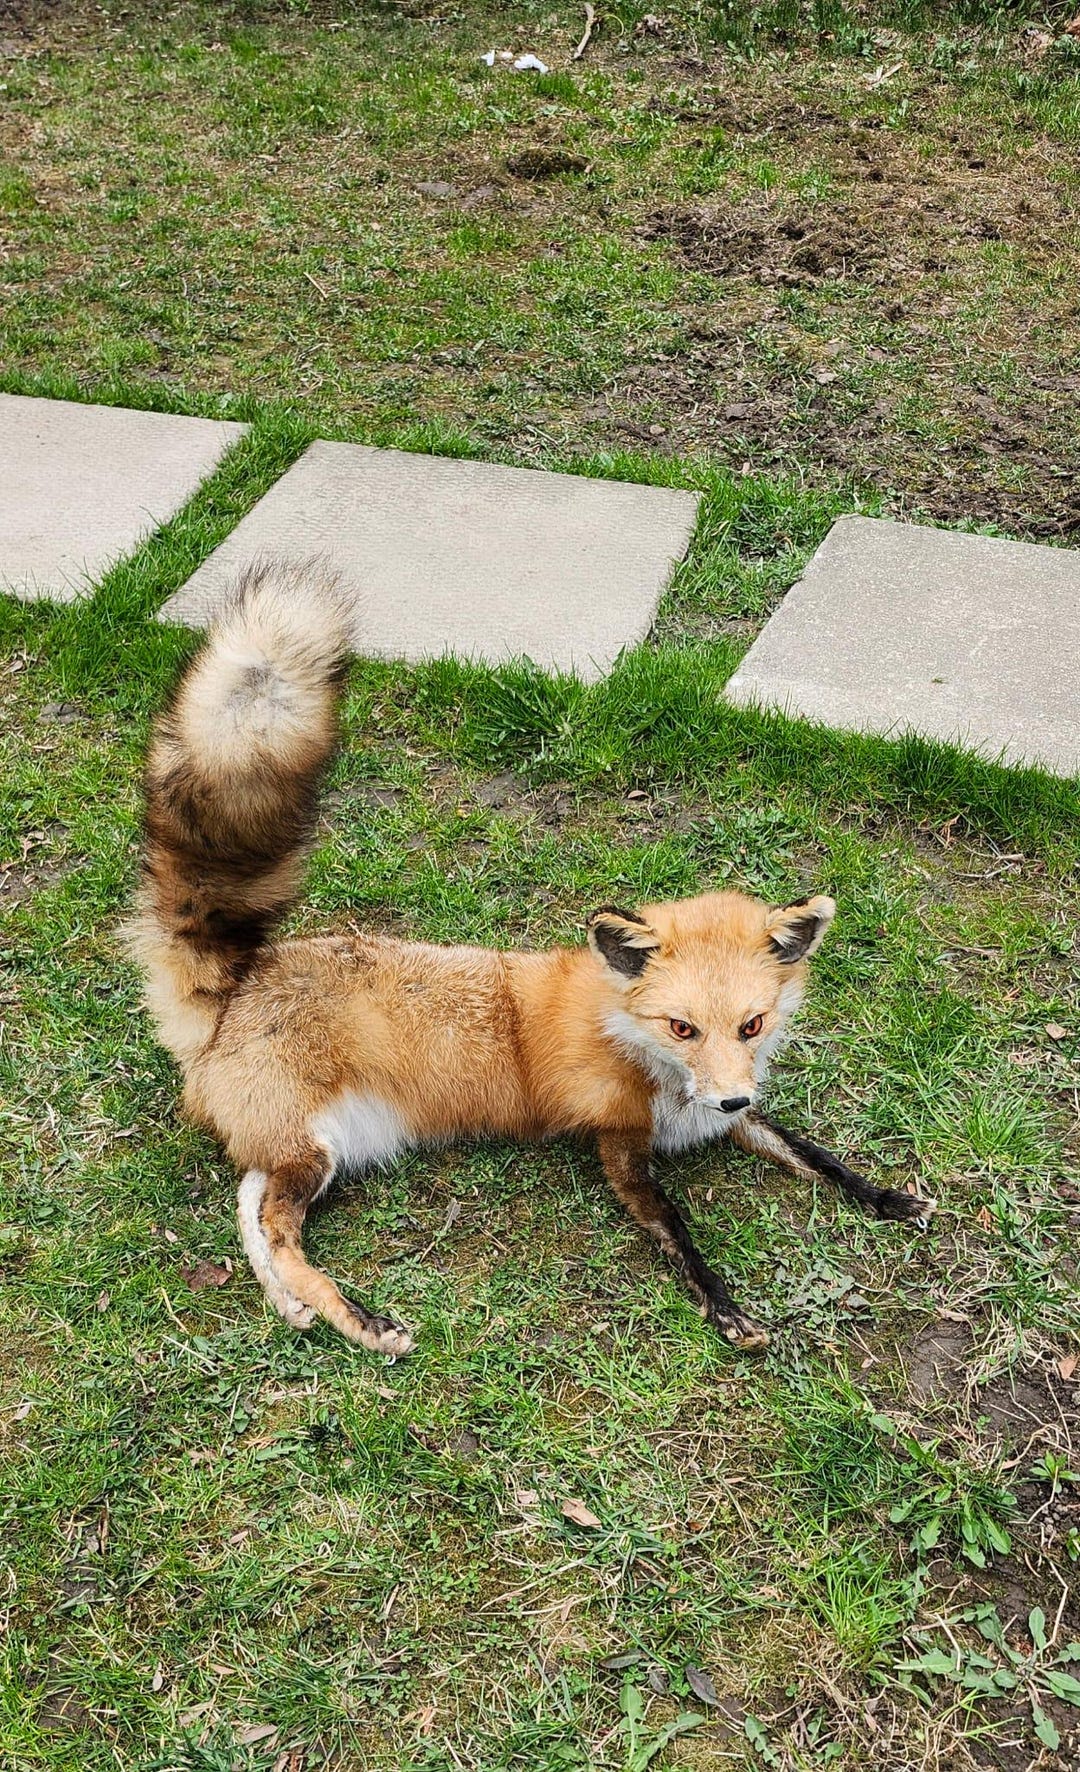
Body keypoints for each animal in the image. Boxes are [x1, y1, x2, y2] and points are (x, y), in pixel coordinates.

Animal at [127, 560, 935, 1358]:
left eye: (752, 1025)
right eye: (682, 1028)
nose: (733, 1097)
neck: (639, 1052)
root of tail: (239, 983)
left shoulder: (718, 1111)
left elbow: (814, 1153)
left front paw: (887, 1196)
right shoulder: (620, 1147)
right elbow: (678, 1233)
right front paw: (725, 1307)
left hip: (311, 1151)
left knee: (252, 1208)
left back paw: (292, 1306)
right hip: (310, 1150)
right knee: (276, 1227)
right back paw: (360, 1322)